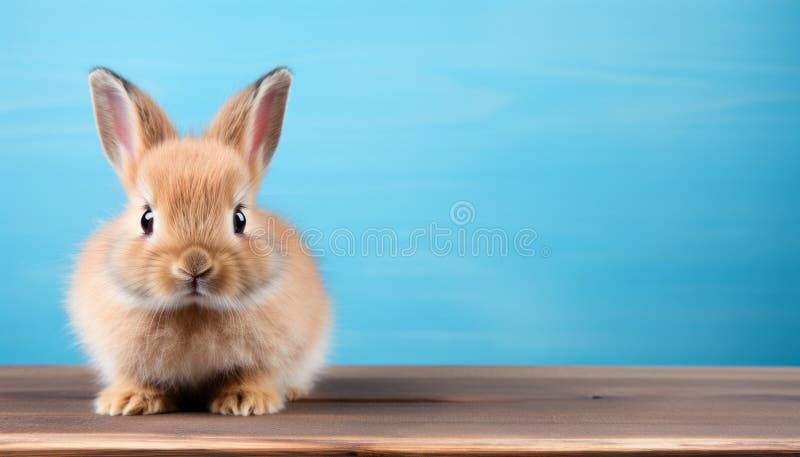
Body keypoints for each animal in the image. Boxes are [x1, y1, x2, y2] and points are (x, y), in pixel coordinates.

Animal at [67, 67, 331, 416]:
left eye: (239, 219)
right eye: (146, 219)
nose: (195, 264)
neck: (193, 309)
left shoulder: (269, 353)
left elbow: (254, 373)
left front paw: (245, 401)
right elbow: (136, 375)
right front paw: (129, 401)